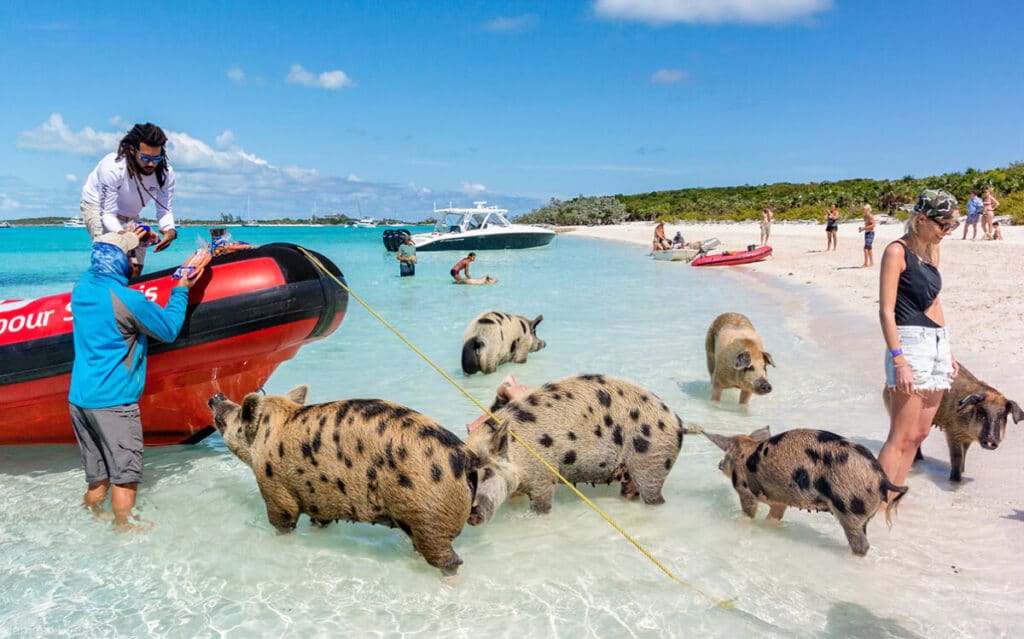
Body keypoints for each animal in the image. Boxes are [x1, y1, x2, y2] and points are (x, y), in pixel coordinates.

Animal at [207, 386, 490, 575]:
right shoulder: (317, 498)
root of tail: (465, 456)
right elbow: (319, 521)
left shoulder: (274, 489)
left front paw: (275, 542)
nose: (216, 396)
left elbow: (283, 522)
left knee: (449, 561)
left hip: (429, 514)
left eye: (238, 413)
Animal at [464, 374, 688, 519]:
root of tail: (678, 422)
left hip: (653, 460)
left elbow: (542, 505)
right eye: (468, 479)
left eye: (488, 473)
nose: (472, 512)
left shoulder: (544, 476)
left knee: (653, 495)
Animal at [702, 426, 907, 556]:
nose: (719, 464)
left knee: (862, 546)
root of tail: (882, 477)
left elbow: (748, 515)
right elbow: (774, 517)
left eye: (726, 454)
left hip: (850, 507)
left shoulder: (744, 489)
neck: (746, 452)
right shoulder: (779, 499)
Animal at [883, 363, 1023, 482]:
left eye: (1002, 416)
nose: (991, 439)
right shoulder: (952, 431)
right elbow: (957, 456)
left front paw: (963, 471)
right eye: (981, 412)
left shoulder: (966, 438)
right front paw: (956, 480)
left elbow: (964, 453)